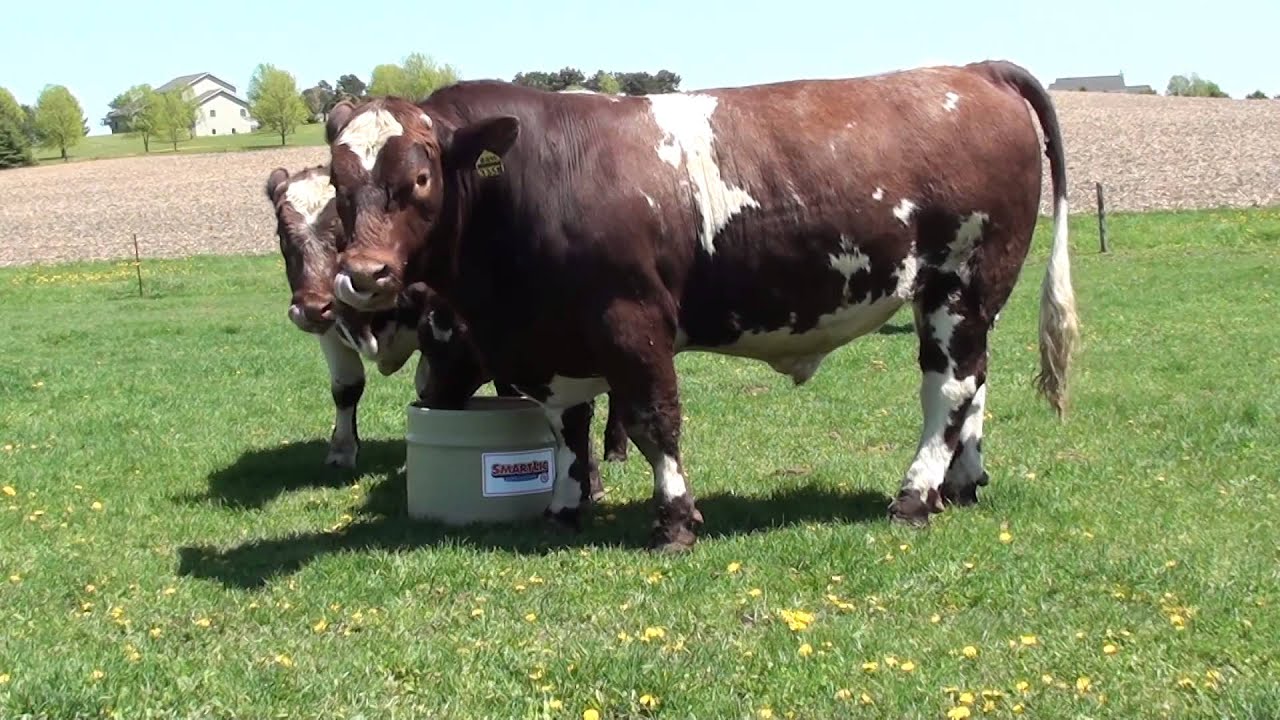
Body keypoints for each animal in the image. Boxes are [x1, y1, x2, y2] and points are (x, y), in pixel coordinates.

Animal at [264, 163, 618, 498]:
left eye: (339, 232)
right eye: (283, 236)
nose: (311, 308)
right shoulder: (334, 330)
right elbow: (347, 389)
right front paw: (342, 451)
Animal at [321, 59, 1080, 552]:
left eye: (420, 176)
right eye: (337, 179)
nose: (363, 274)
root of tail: (973, 71)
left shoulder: (631, 321)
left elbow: (654, 421)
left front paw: (675, 521)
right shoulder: (558, 345)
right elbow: (566, 428)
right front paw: (566, 507)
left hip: (963, 281)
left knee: (946, 389)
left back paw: (915, 496)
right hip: (958, 299)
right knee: (973, 385)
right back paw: (964, 482)